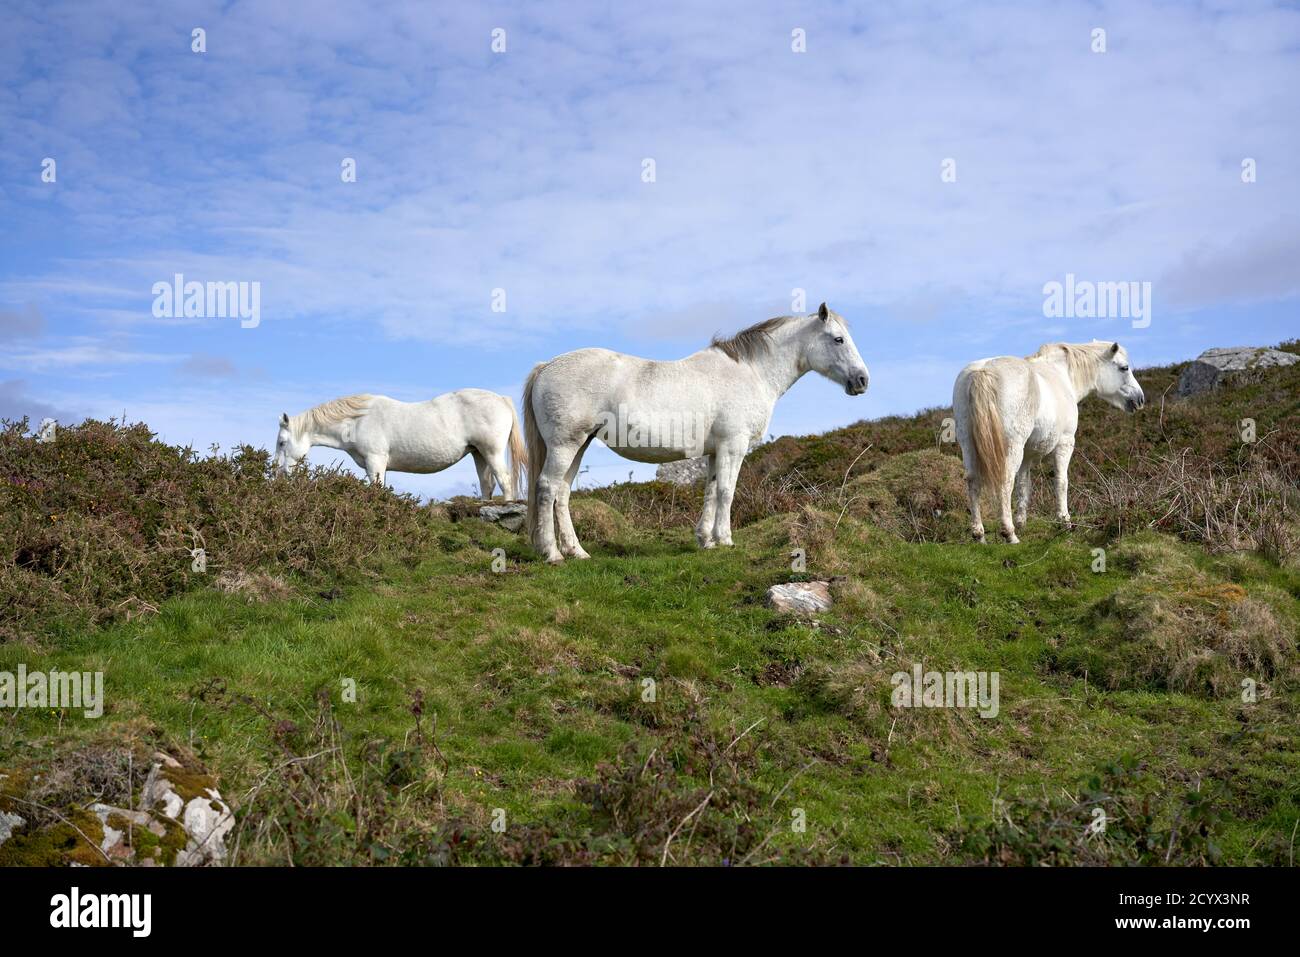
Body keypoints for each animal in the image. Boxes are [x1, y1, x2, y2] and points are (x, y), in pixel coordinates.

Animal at [273, 389, 526, 498]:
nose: (279, 476)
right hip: (478, 453)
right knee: (487, 485)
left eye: (282, 443)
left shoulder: (375, 461)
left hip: (492, 451)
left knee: (504, 482)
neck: (357, 420)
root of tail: (502, 399)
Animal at [523, 302, 870, 563]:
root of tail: (546, 365)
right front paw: (726, 540)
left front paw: (706, 540)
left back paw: (576, 551)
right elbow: (727, 491)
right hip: (565, 445)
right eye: (838, 339)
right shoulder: (733, 446)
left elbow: (711, 490)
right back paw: (552, 553)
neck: (751, 373)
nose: (862, 380)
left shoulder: (716, 451)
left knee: (562, 493)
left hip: (579, 445)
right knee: (547, 488)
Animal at [952, 340, 1145, 544]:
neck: (1061, 374)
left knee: (973, 481)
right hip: (1011, 448)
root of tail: (983, 371)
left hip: (969, 446)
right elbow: (1061, 482)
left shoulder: (1027, 456)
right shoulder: (1065, 444)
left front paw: (1021, 522)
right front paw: (1065, 522)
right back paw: (1009, 534)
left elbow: (1023, 486)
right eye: (1124, 368)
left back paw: (979, 535)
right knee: (1005, 482)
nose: (1140, 399)